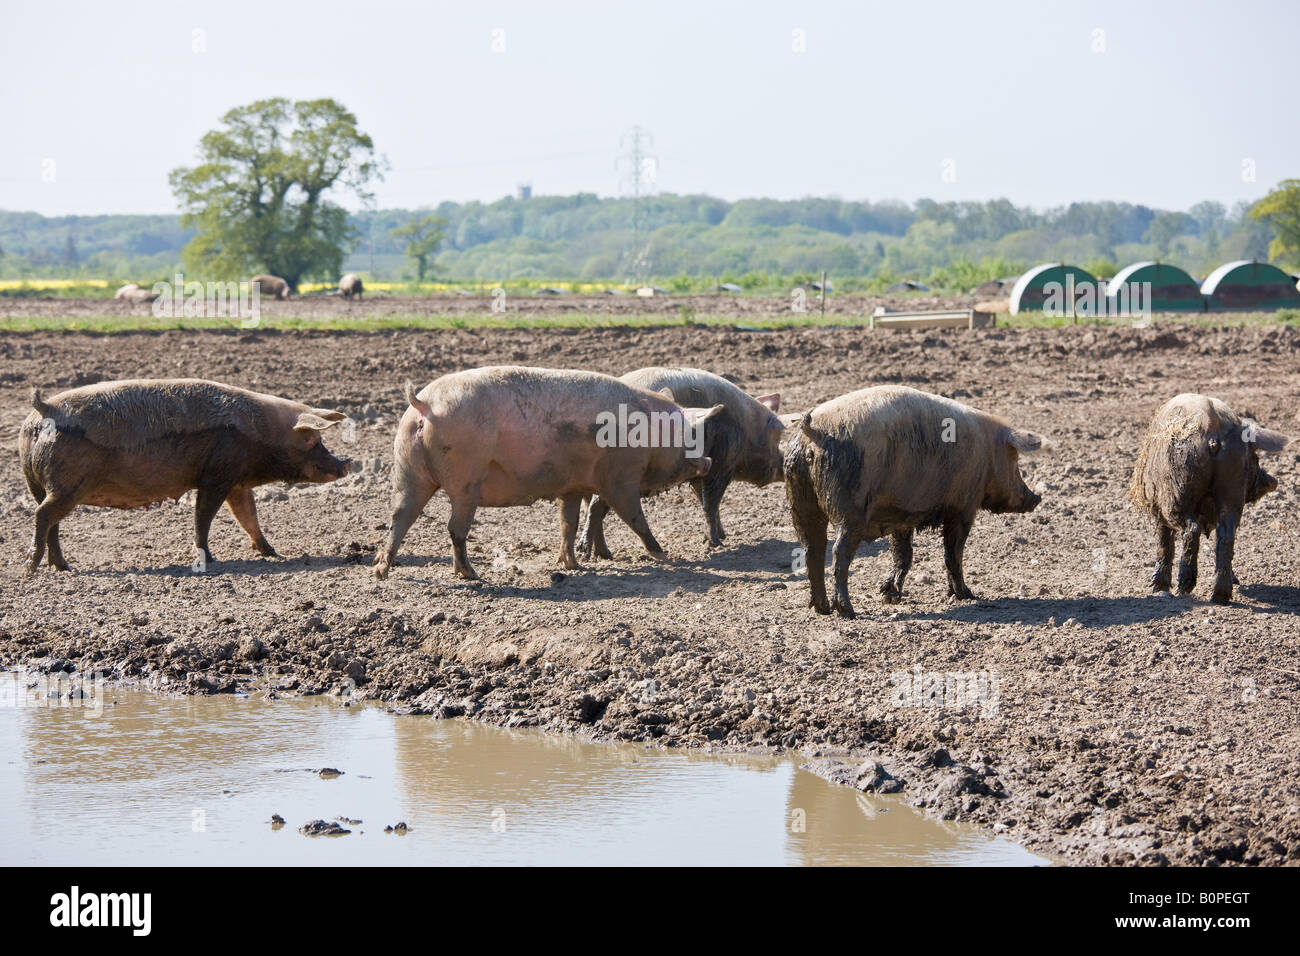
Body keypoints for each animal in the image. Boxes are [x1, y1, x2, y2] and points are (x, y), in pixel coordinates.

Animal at [18, 379, 352, 573]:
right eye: (312, 440)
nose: (346, 464)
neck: (264, 433)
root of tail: (45, 409)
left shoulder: (236, 481)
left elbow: (249, 517)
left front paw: (275, 554)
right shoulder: (217, 475)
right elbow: (203, 517)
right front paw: (209, 560)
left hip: (37, 483)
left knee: (50, 521)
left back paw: (63, 568)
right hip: (67, 486)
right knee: (43, 516)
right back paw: (34, 569)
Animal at [374, 366, 722, 581]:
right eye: (685, 436)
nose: (707, 461)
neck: (646, 434)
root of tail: (423, 403)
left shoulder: (572, 486)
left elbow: (568, 523)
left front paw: (573, 565)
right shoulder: (620, 477)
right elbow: (634, 517)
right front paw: (663, 555)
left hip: (407, 470)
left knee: (399, 517)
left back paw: (381, 571)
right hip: (465, 479)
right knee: (454, 528)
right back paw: (471, 574)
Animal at [579, 367, 783, 556]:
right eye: (777, 439)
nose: (784, 462)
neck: (748, 430)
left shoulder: (701, 471)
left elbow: (703, 500)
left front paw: (721, 536)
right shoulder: (722, 466)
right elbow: (711, 504)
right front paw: (717, 543)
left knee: (593, 507)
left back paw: (600, 554)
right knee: (597, 506)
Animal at [784, 385, 1044, 618]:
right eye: (1015, 461)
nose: (1036, 498)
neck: (988, 452)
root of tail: (813, 430)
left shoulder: (902, 517)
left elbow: (904, 554)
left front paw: (890, 597)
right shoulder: (963, 507)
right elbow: (953, 553)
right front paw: (967, 596)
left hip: (800, 500)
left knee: (812, 550)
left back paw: (822, 608)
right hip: (849, 509)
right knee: (838, 552)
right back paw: (847, 611)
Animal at [1129, 393, 1290, 604]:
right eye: (1256, 457)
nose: (1272, 480)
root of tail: (1212, 423)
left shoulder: (1157, 506)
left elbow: (1164, 543)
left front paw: (1157, 588)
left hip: (1177, 495)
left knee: (1191, 530)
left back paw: (1184, 588)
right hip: (1232, 488)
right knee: (1226, 537)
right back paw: (1220, 596)